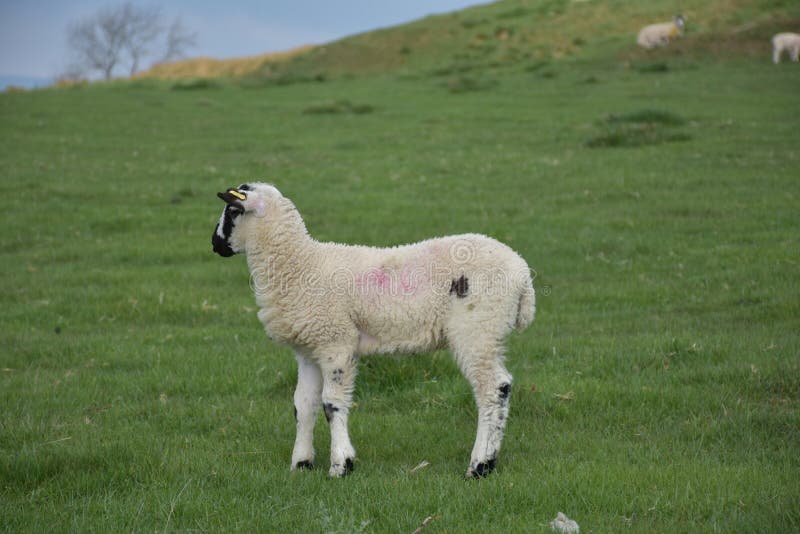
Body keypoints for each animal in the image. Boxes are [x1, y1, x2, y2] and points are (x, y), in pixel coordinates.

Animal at [212, 183, 536, 478]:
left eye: (232, 211)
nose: (215, 244)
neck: (300, 263)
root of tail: (523, 272)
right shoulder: (309, 350)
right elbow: (302, 406)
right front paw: (301, 464)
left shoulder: (336, 342)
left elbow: (331, 405)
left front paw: (341, 465)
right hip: (486, 332)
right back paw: (488, 462)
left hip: (477, 329)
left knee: (494, 390)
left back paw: (480, 465)